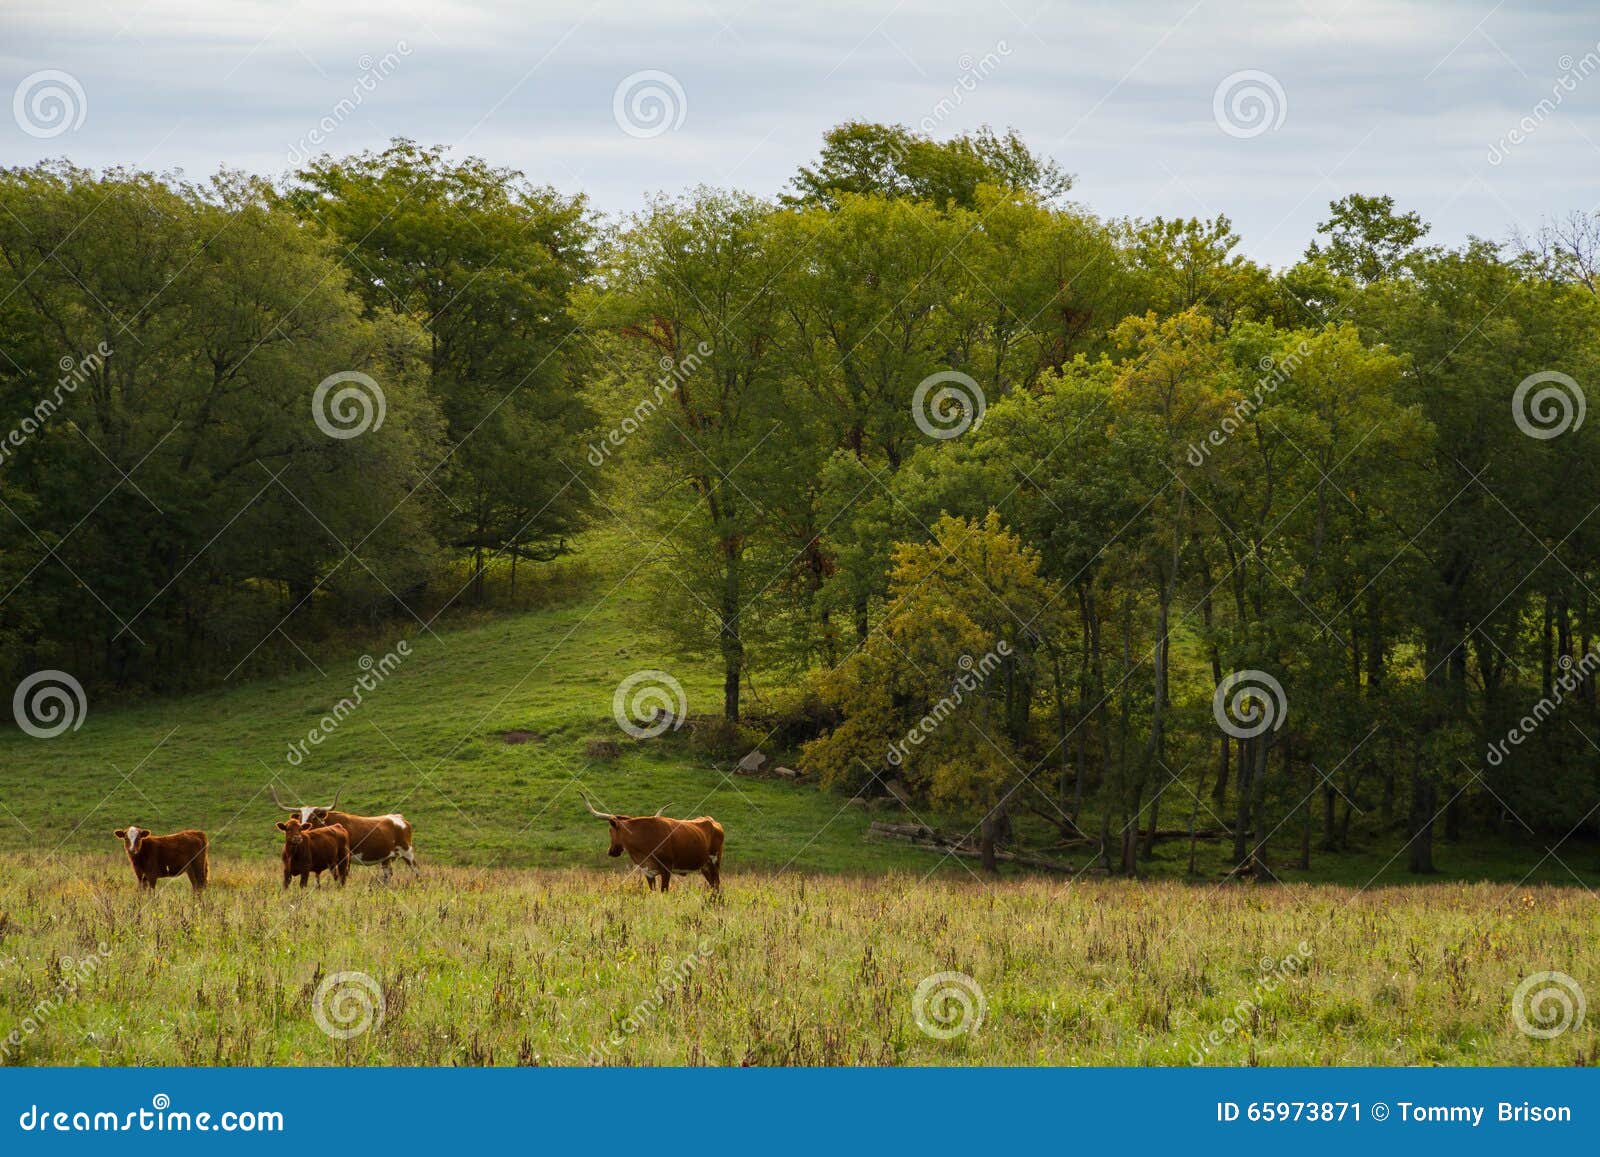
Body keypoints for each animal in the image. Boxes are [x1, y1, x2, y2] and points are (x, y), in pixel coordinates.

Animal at [271, 786, 417, 878]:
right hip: (386, 858)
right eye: (300, 817)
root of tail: (399, 818)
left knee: (416, 872)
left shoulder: (345, 858)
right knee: (388, 875)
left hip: (407, 852)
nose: (302, 828)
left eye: (314, 817)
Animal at [582, 794, 723, 892]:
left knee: (717, 886)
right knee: (713, 886)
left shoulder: (666, 870)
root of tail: (712, 821)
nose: (611, 851)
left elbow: (664, 892)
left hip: (715, 862)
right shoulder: (648, 872)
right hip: (705, 866)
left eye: (610, 830)